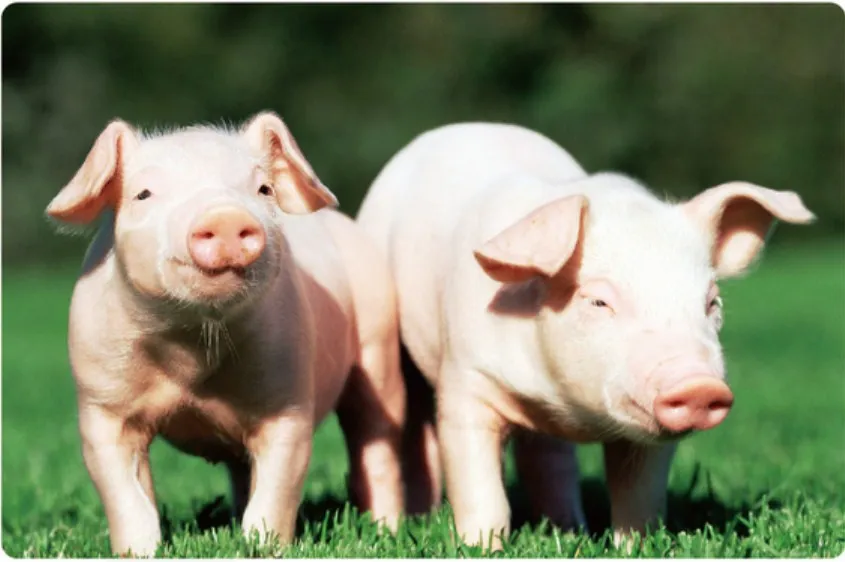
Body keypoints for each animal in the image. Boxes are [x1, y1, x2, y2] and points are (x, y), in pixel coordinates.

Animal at [45, 112, 406, 556]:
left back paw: (387, 532)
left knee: (376, 444)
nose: (225, 216)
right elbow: (128, 499)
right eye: (143, 194)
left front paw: (262, 547)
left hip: (379, 343)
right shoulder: (102, 405)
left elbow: (277, 491)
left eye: (264, 189)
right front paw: (139, 551)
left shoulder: (288, 400)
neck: (193, 353)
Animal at [355, 122, 814, 549]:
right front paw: (478, 547)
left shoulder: (649, 439)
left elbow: (640, 498)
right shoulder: (466, 380)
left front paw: (634, 548)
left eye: (711, 302)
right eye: (598, 302)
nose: (698, 384)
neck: (569, 410)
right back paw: (418, 518)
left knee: (549, 460)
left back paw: (568, 529)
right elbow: (481, 488)